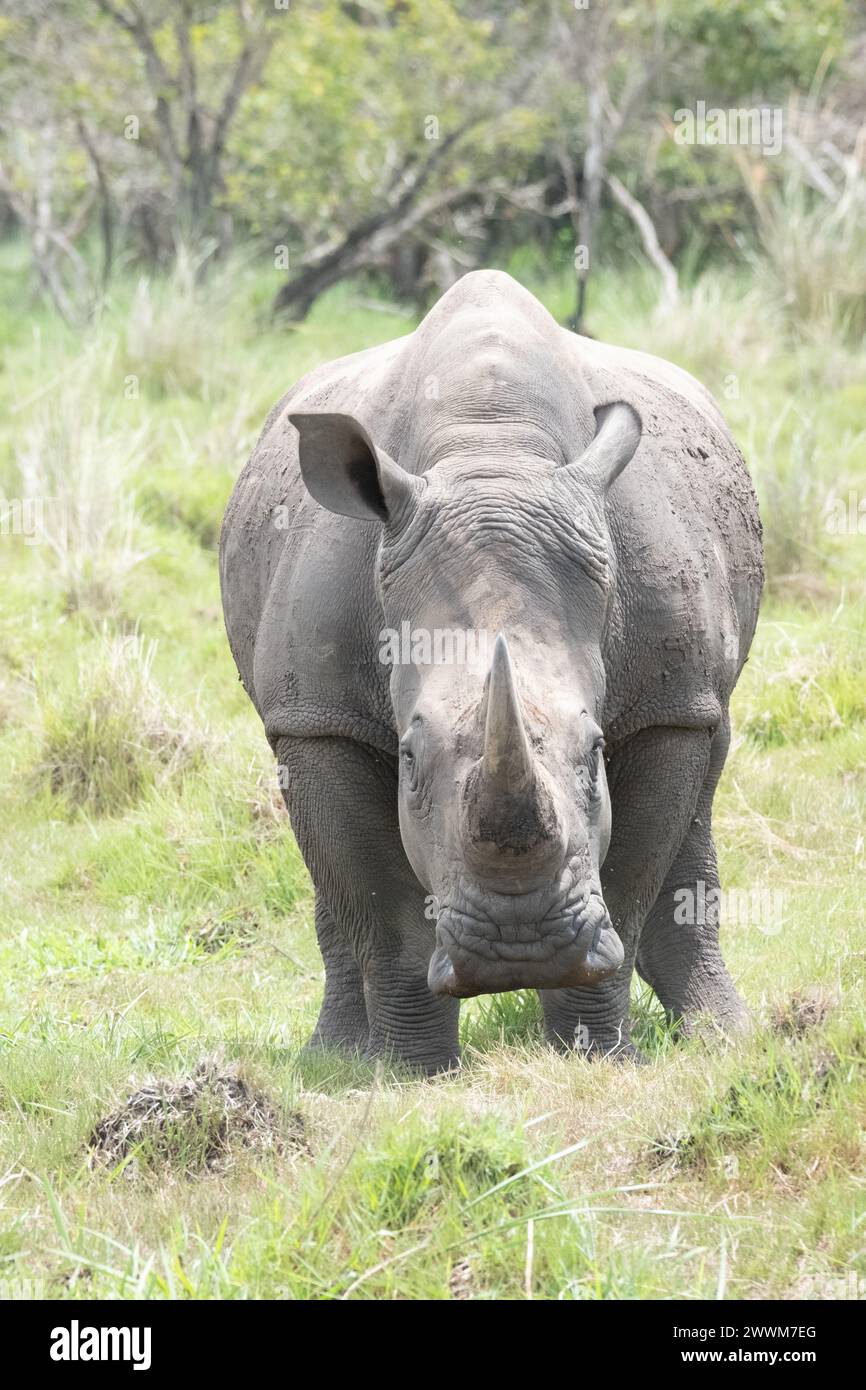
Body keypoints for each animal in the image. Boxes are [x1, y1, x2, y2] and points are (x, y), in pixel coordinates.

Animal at [220, 270, 763, 1073]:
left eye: (595, 751)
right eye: (410, 757)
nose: (520, 949)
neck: (492, 456)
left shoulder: (667, 706)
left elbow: (628, 884)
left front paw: (595, 1056)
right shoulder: (320, 719)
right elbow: (384, 914)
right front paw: (412, 1072)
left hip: (698, 684)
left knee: (706, 774)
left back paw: (724, 1039)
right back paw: (335, 1059)